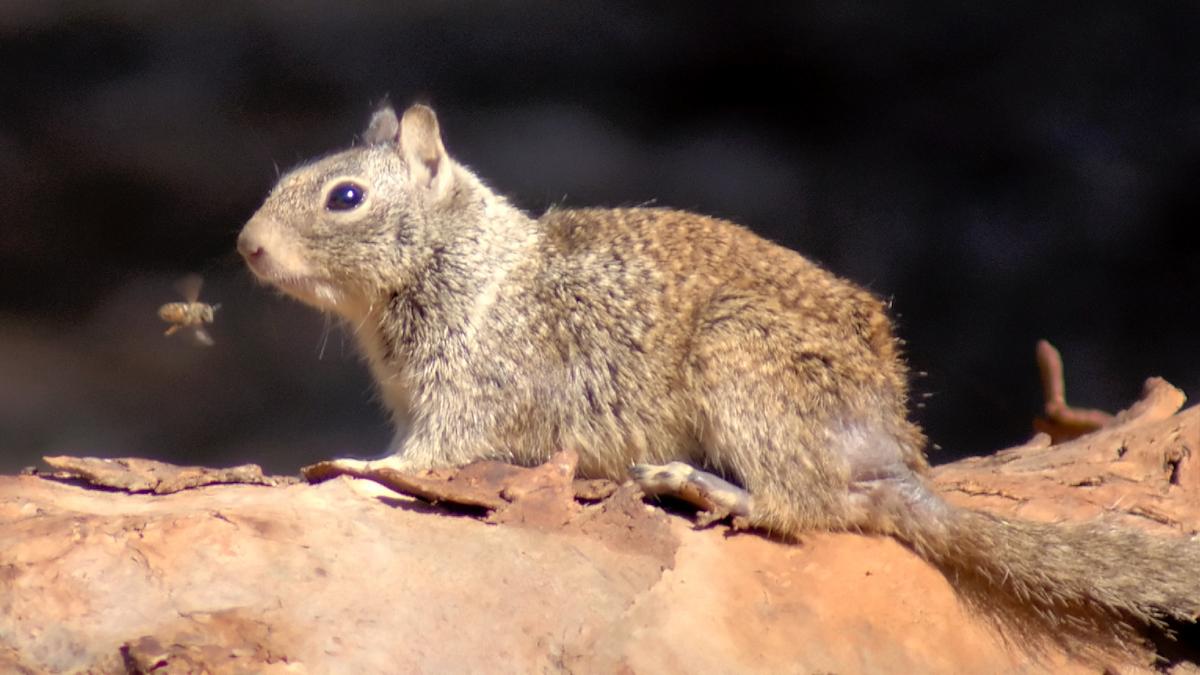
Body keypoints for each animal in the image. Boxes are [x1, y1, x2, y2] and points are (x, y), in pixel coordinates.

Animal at [238, 102, 1200, 657]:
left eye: (345, 197)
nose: (246, 248)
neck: (467, 265)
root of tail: (892, 460)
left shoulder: (470, 394)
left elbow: (426, 456)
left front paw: (355, 465)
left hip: (742, 367)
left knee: (808, 505)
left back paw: (704, 485)